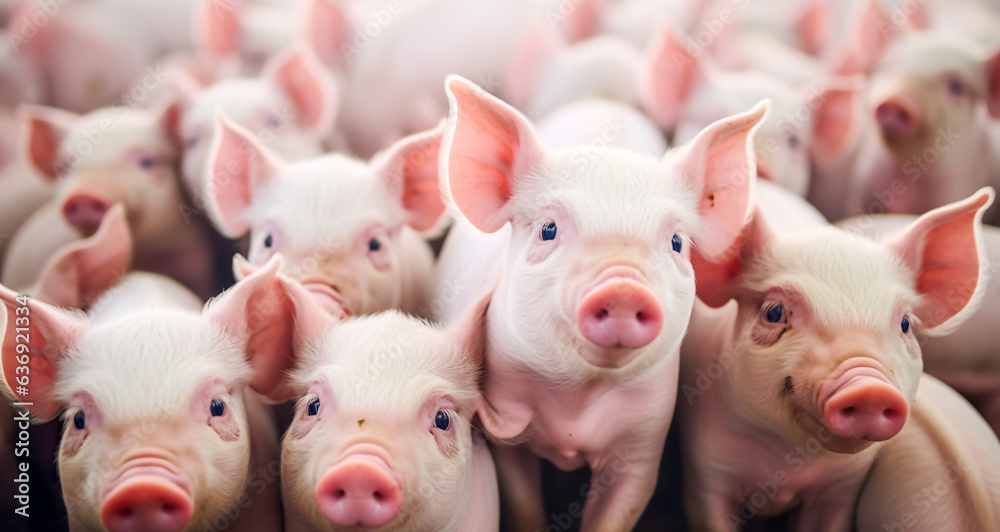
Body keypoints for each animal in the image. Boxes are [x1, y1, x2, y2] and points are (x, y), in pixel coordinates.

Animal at [434, 75, 768, 531]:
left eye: (676, 242)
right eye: (548, 228)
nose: (624, 287)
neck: (578, 405)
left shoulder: (644, 443)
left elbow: (617, 510)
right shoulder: (506, 429)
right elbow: (522, 502)